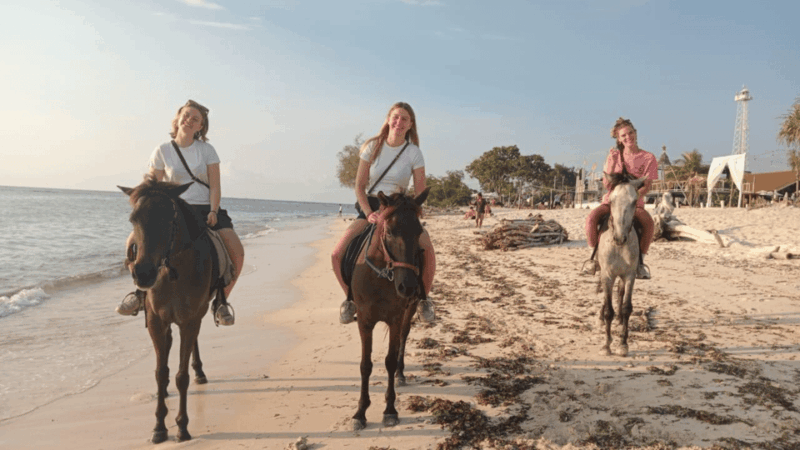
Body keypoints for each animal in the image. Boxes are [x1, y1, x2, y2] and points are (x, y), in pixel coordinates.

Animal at [119, 178, 217, 443]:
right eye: (133, 219)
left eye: (169, 219)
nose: (143, 273)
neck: (173, 272)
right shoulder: (156, 321)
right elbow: (161, 372)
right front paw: (159, 427)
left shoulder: (189, 320)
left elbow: (181, 376)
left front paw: (182, 427)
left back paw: (199, 372)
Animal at [349, 187, 430, 431]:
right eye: (391, 232)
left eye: (419, 231)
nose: (408, 286)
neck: (382, 276)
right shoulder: (364, 321)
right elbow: (365, 365)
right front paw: (360, 412)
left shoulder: (395, 318)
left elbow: (390, 361)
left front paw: (390, 410)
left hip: (409, 310)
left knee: (404, 336)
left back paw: (402, 374)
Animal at [596, 172, 647, 357]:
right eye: (611, 200)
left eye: (634, 201)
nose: (619, 237)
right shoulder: (607, 275)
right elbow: (608, 310)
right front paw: (606, 345)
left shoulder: (630, 276)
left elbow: (626, 308)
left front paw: (623, 344)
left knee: (619, 292)